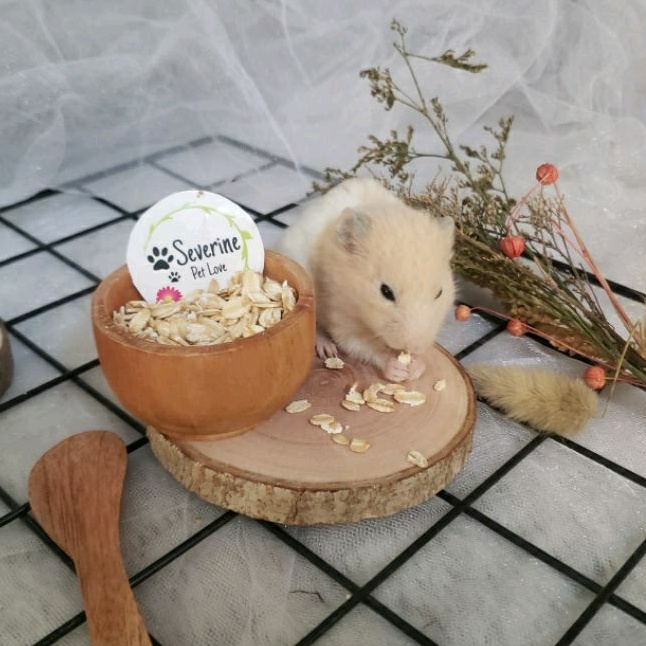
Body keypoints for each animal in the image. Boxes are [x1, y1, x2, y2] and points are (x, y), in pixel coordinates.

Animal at [277, 178, 455, 382]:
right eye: (386, 292)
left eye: (439, 293)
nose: (412, 346)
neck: (361, 312)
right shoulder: (339, 314)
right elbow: (359, 345)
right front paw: (397, 369)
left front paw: (416, 367)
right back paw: (327, 349)